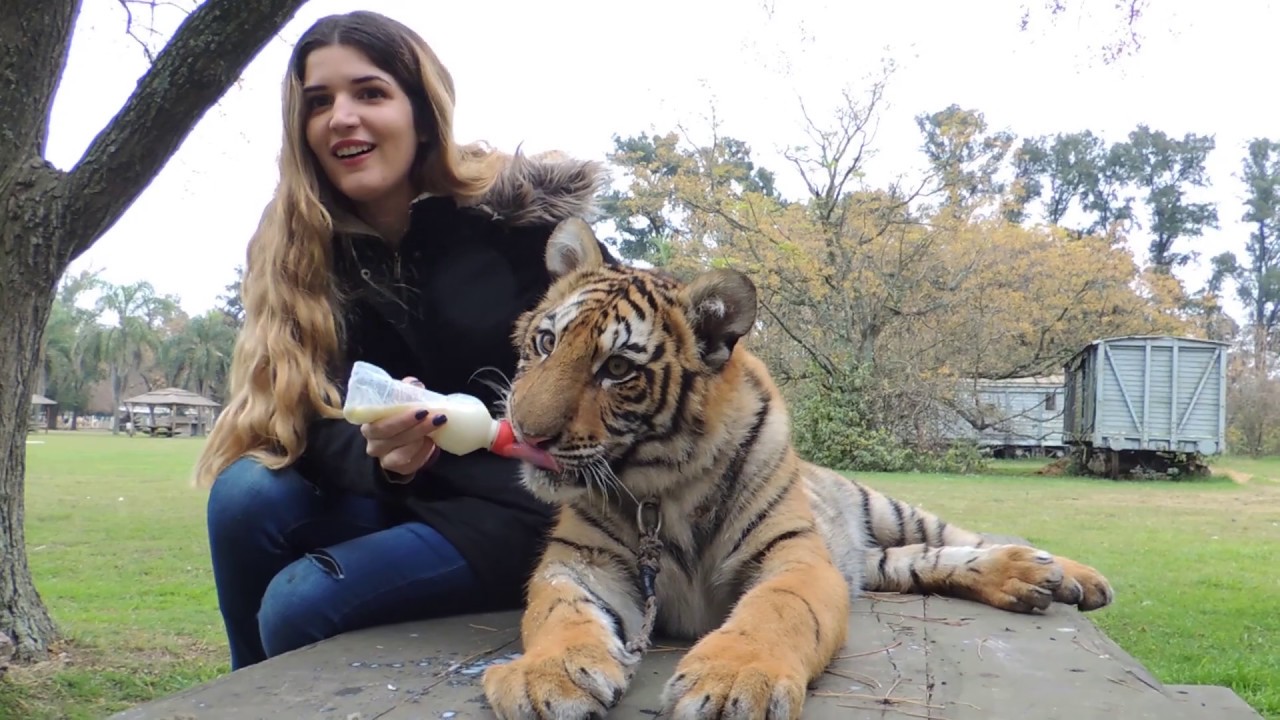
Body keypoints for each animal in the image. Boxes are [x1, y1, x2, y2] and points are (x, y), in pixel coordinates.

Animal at [480, 217, 1114, 720]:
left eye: (616, 369)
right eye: (545, 342)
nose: (527, 432)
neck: (664, 490)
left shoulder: (795, 555)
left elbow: (777, 611)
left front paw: (731, 682)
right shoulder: (581, 561)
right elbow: (557, 612)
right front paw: (547, 676)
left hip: (886, 511)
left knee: (962, 537)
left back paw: (1069, 575)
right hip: (873, 561)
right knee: (927, 560)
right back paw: (1026, 580)